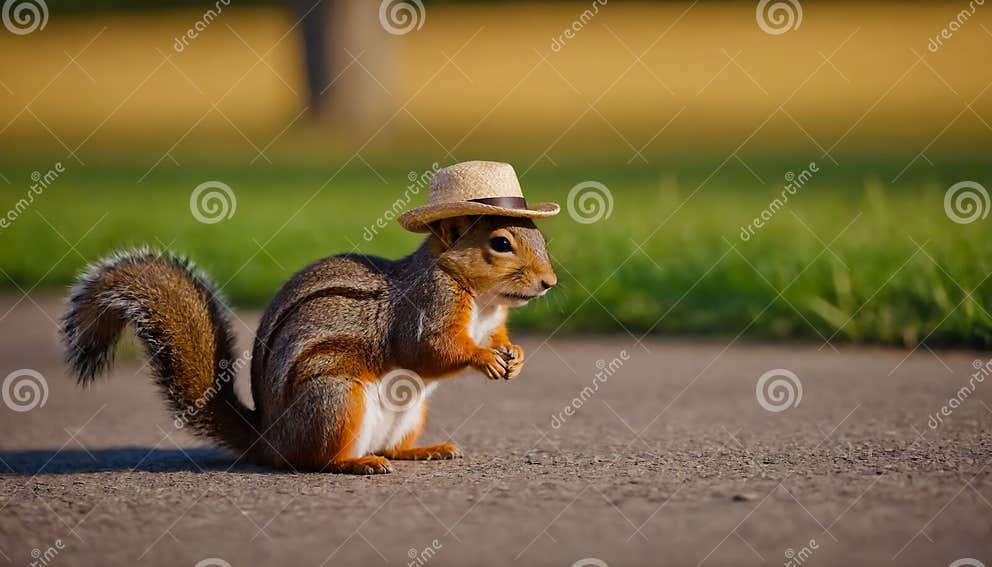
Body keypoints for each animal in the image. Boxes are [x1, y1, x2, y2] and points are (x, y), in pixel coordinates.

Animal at [61, 161, 558, 474]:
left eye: (542, 239)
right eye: (500, 243)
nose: (549, 282)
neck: (484, 301)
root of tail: (268, 441)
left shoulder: (490, 321)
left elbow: (495, 339)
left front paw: (513, 355)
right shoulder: (425, 308)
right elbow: (428, 350)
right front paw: (484, 359)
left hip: (410, 411)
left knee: (391, 447)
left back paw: (424, 450)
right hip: (334, 399)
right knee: (314, 461)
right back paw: (356, 463)